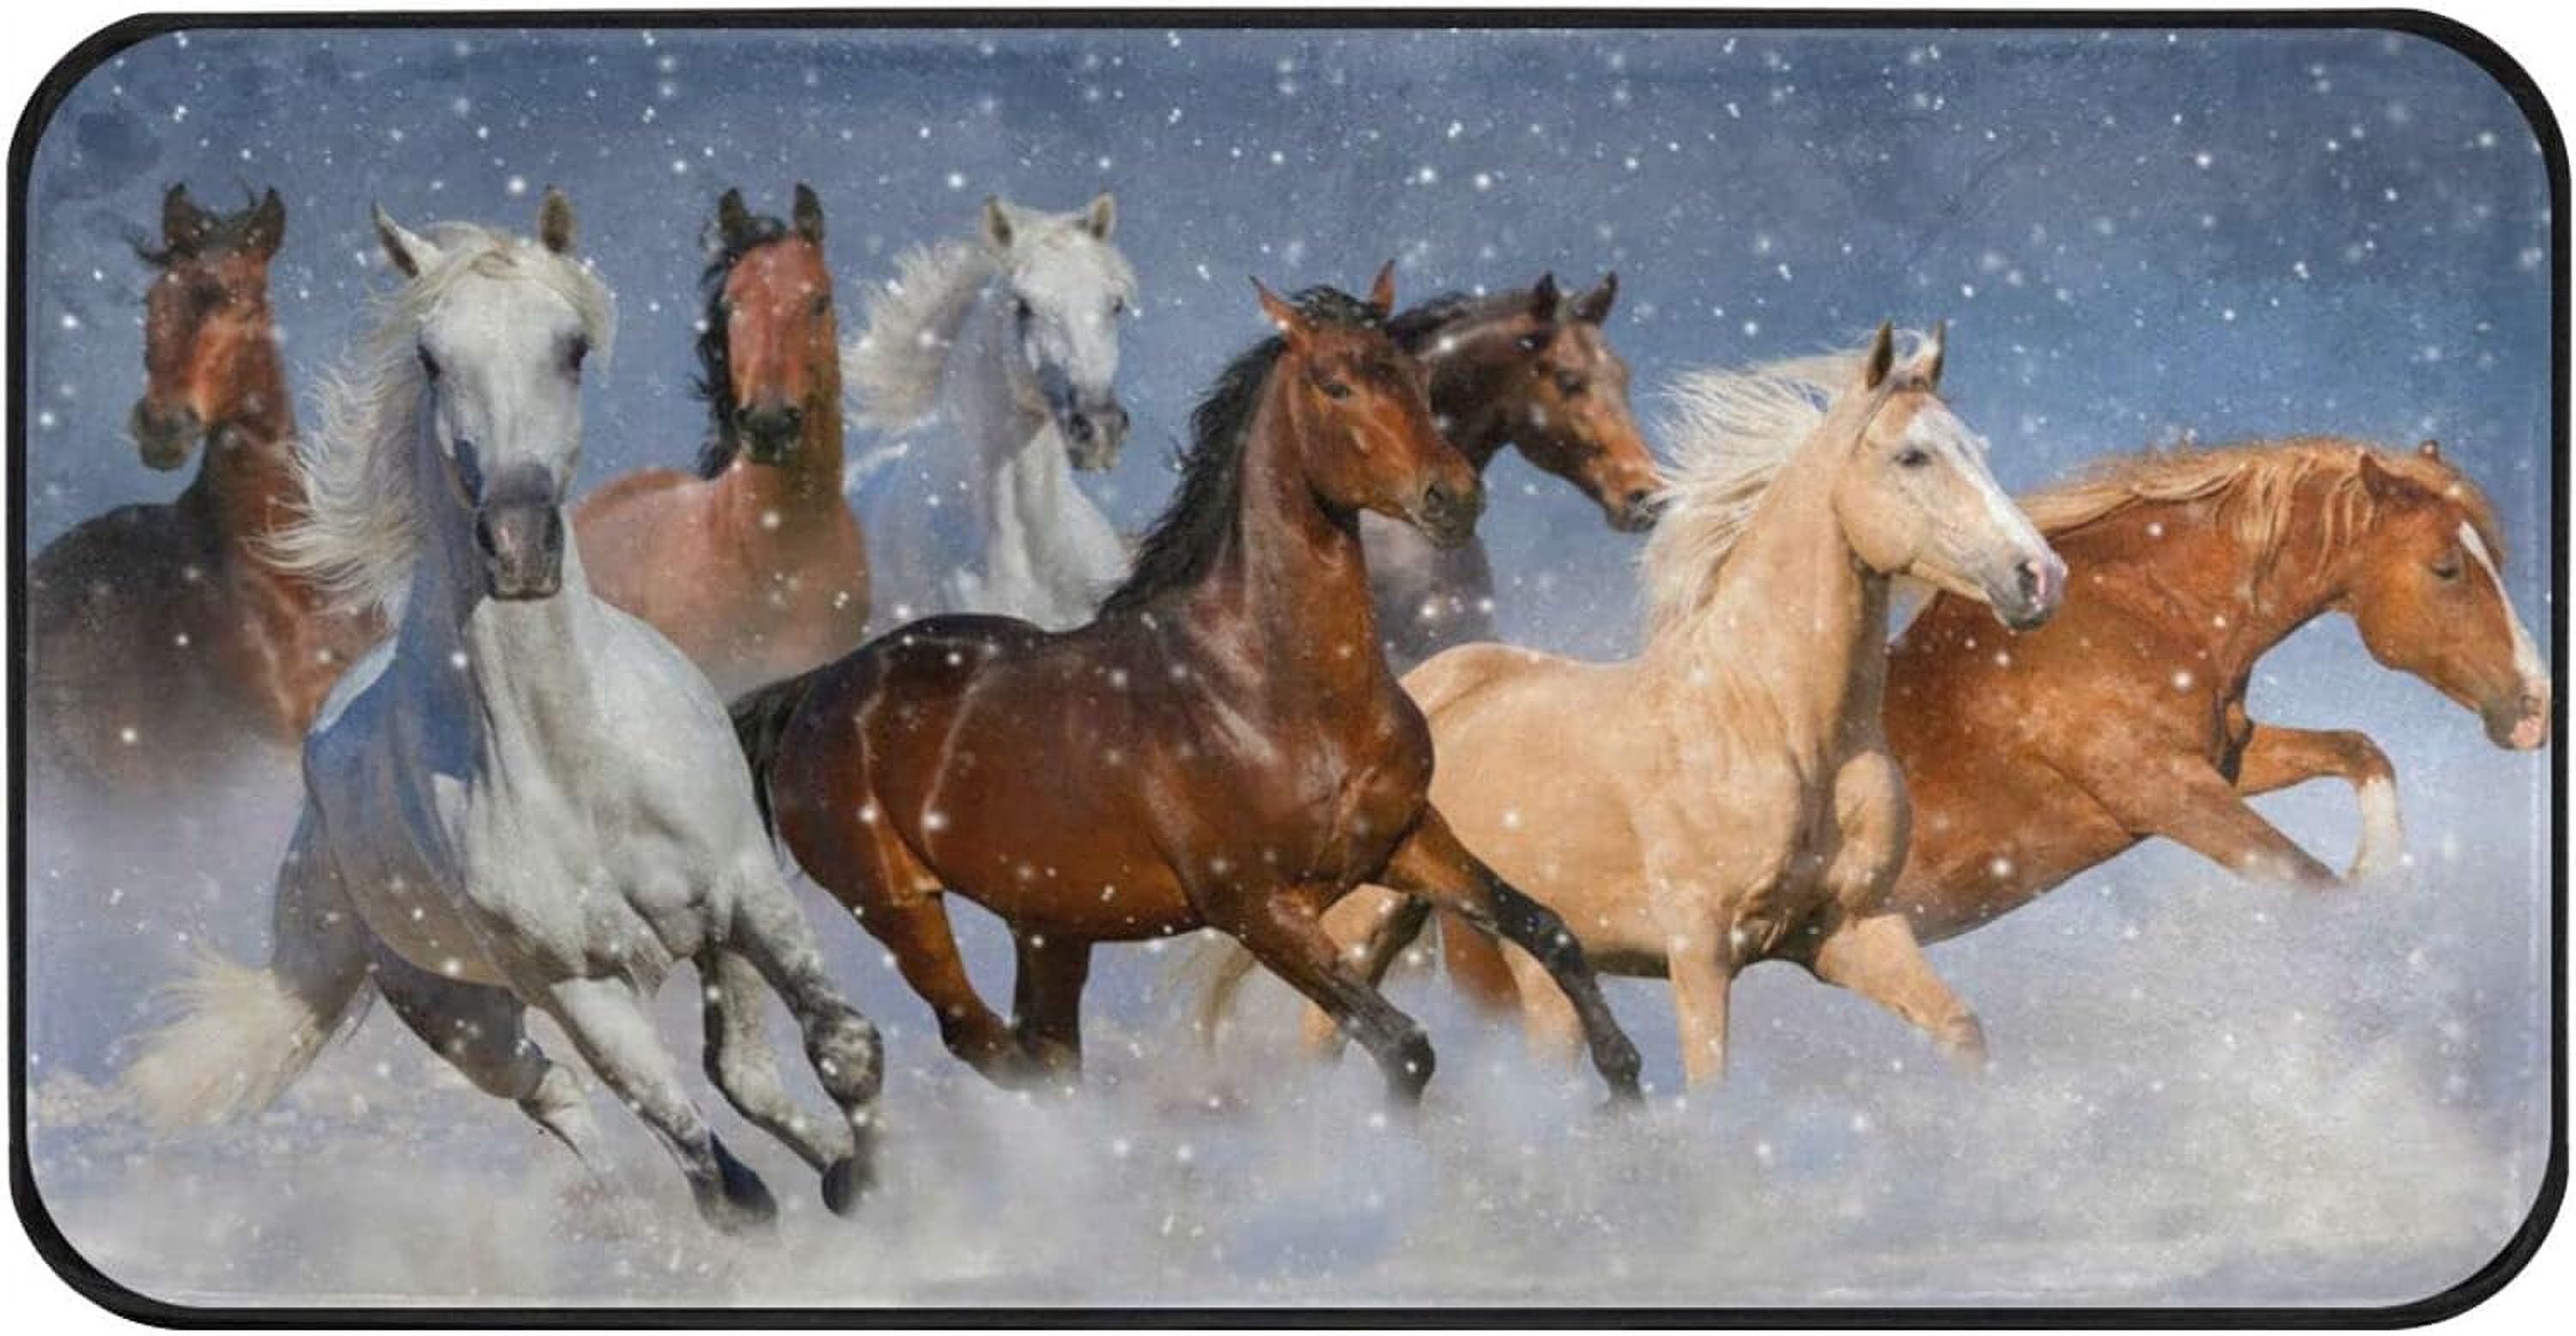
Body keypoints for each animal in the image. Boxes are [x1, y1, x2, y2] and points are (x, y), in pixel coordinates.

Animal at [1194, 326, 2065, 1087]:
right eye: (1913, 455)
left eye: (1973, 448)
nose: (2039, 576)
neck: (1771, 722)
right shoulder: (1702, 949)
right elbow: (1710, 1083)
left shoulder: (1851, 931)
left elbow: (1961, 1030)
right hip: (1366, 920)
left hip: (1532, 965)